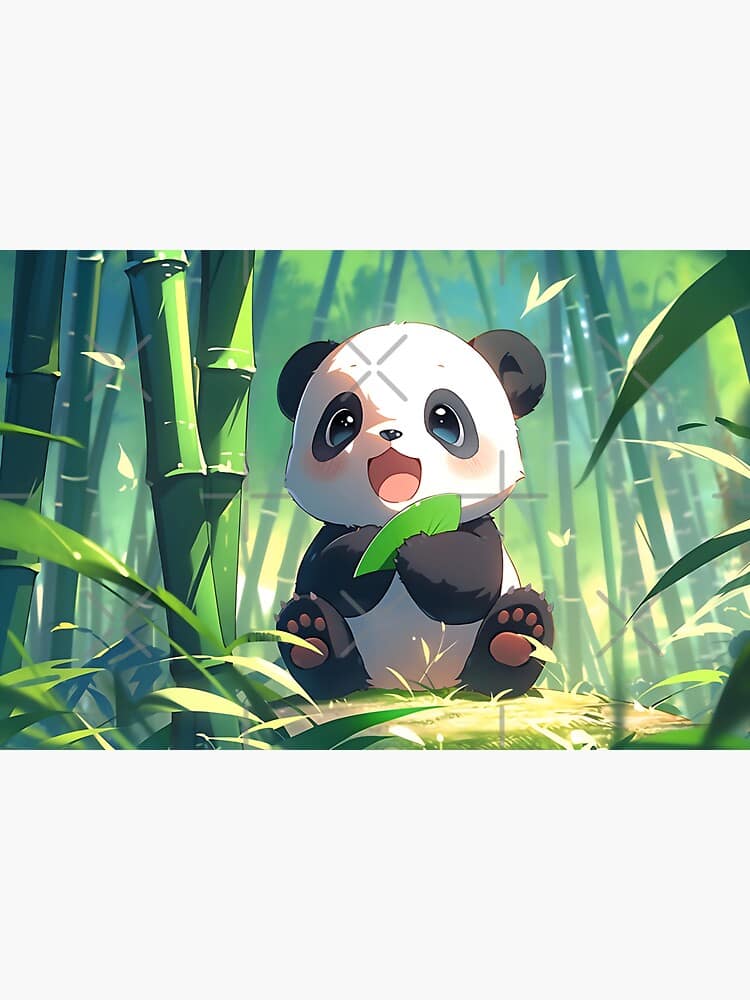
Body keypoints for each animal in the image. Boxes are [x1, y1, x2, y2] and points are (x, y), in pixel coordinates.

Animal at [275, 322, 554, 701]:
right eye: (342, 422)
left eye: (444, 418)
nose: (390, 433)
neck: (399, 513)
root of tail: (413, 684)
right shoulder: (330, 534)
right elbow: (321, 573)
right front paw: (366, 545)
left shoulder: (475, 525)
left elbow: (473, 579)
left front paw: (417, 551)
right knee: (320, 640)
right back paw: (309, 635)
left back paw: (515, 634)